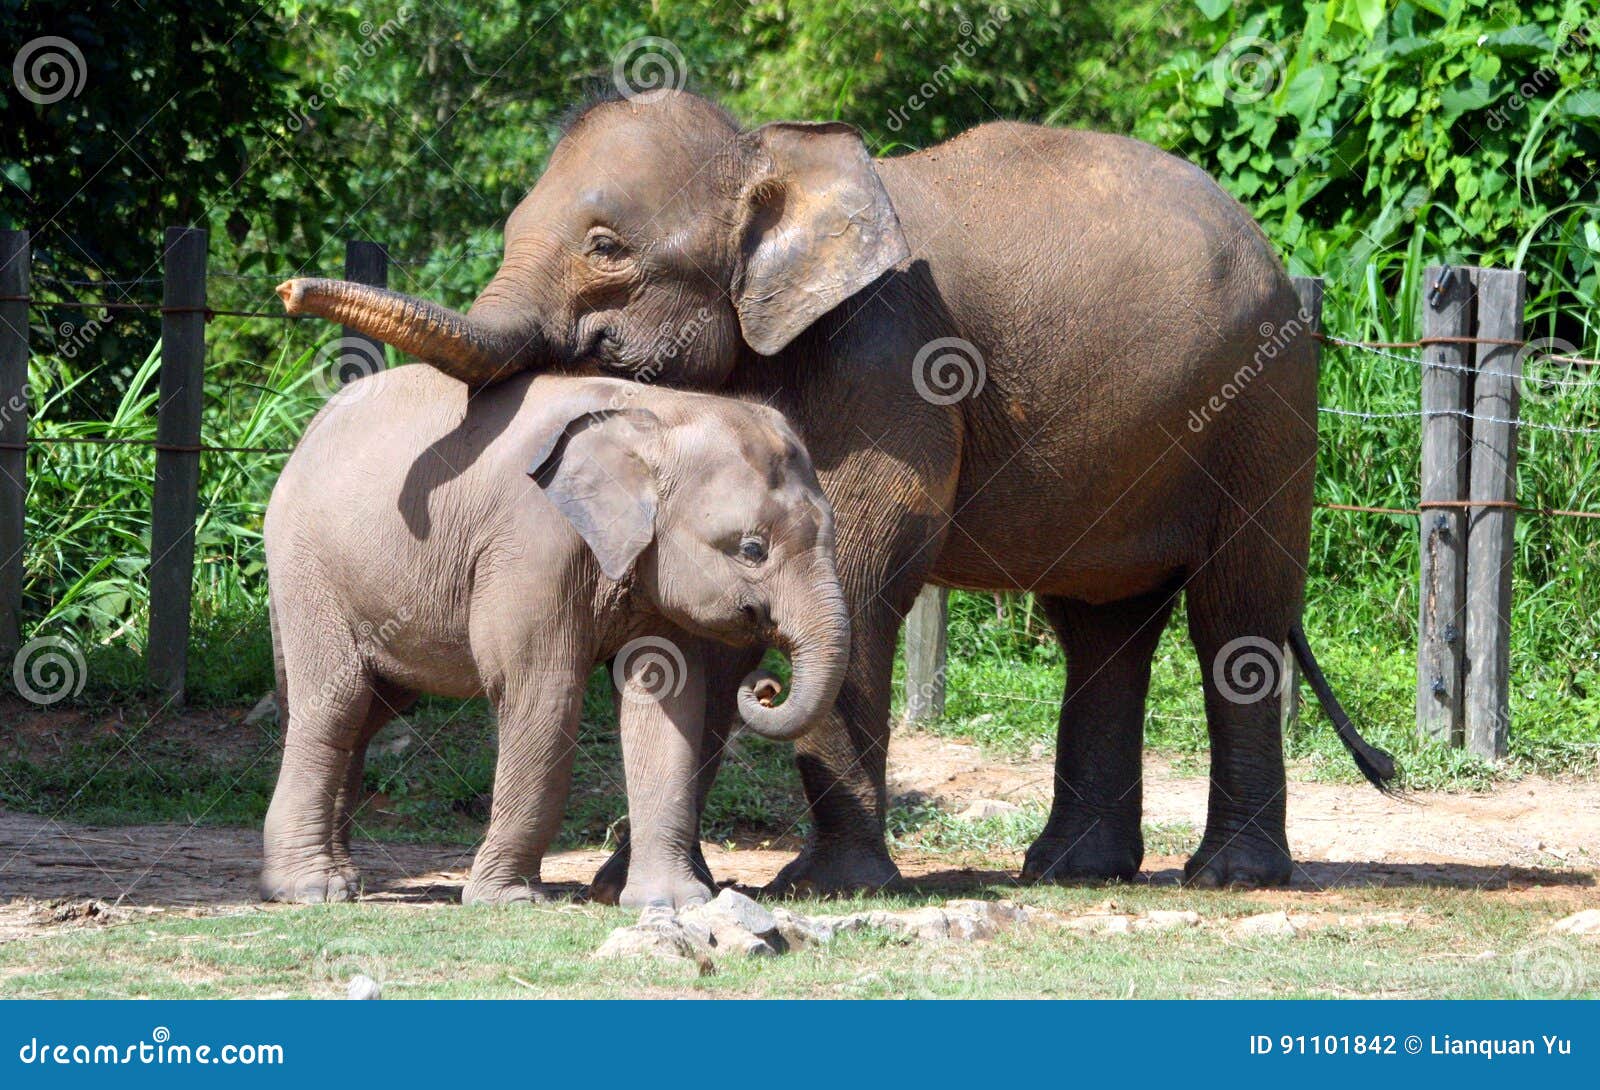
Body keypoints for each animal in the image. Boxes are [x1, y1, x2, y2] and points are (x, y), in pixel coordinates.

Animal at [259, 363, 847, 908]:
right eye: (751, 549)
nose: (765, 686)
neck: (658, 413)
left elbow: (668, 701)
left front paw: (672, 903)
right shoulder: (531, 545)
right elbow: (543, 694)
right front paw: (508, 900)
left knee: (371, 709)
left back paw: (342, 880)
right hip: (309, 567)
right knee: (338, 700)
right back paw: (309, 890)